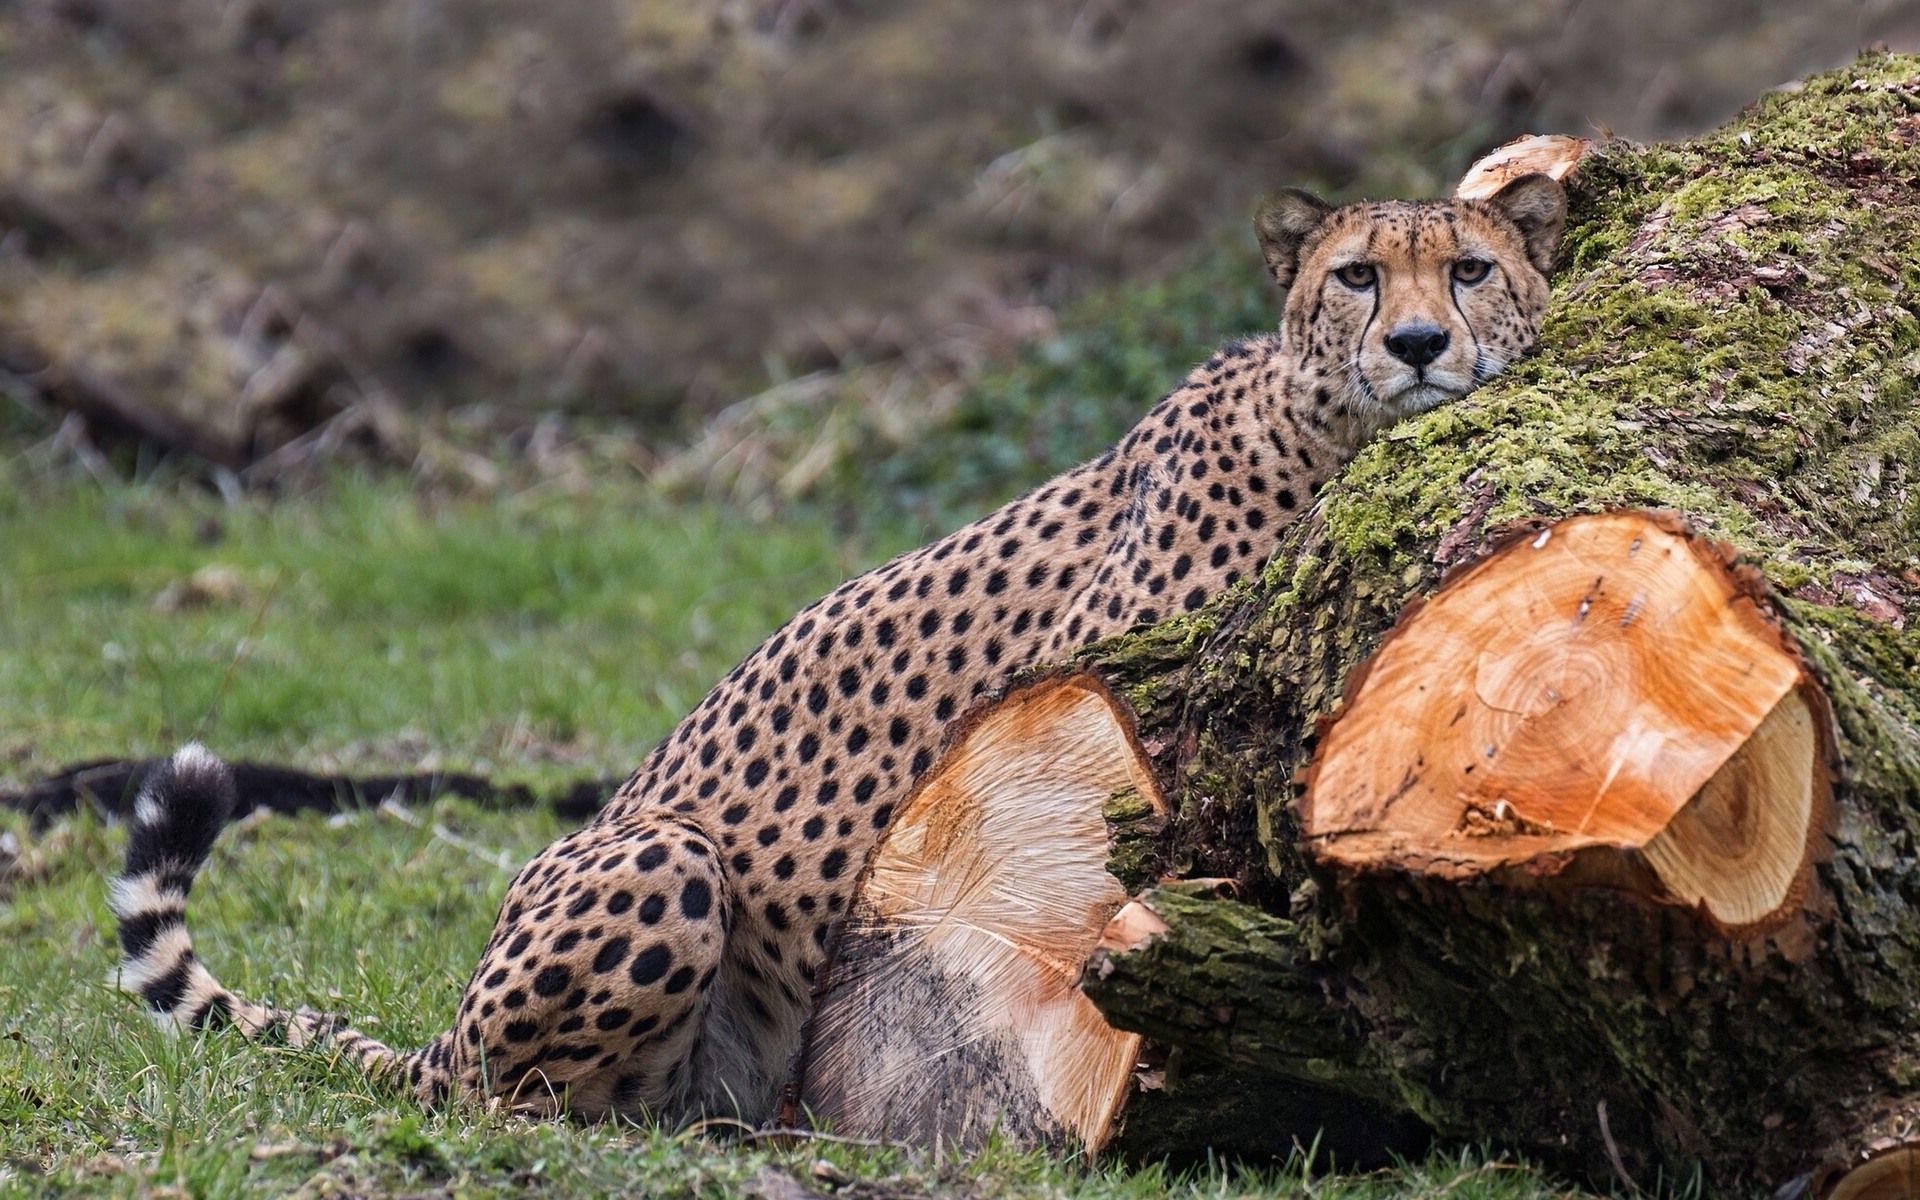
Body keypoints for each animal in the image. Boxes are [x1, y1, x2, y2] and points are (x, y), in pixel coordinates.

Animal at [110, 172, 1566, 1127]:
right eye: (1359, 275)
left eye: (1471, 269)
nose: (1419, 344)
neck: (1320, 430)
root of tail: (446, 1032)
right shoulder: (1097, 678)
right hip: (661, 858)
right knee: (512, 1103)